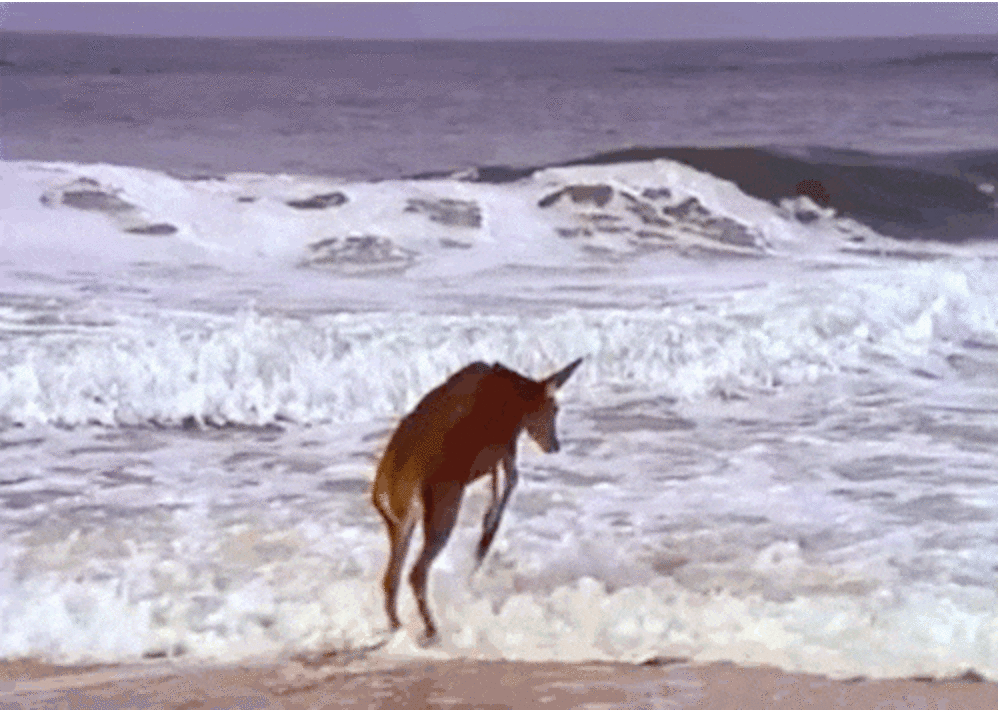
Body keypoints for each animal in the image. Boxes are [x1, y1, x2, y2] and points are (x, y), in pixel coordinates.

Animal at [371, 357, 583, 643]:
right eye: (555, 409)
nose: (555, 445)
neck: (517, 393)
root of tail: (384, 488)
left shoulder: (492, 456)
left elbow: (500, 487)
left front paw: (484, 539)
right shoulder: (502, 445)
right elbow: (509, 482)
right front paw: (483, 543)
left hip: (400, 522)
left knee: (389, 578)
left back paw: (397, 627)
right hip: (443, 508)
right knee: (415, 573)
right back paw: (431, 629)